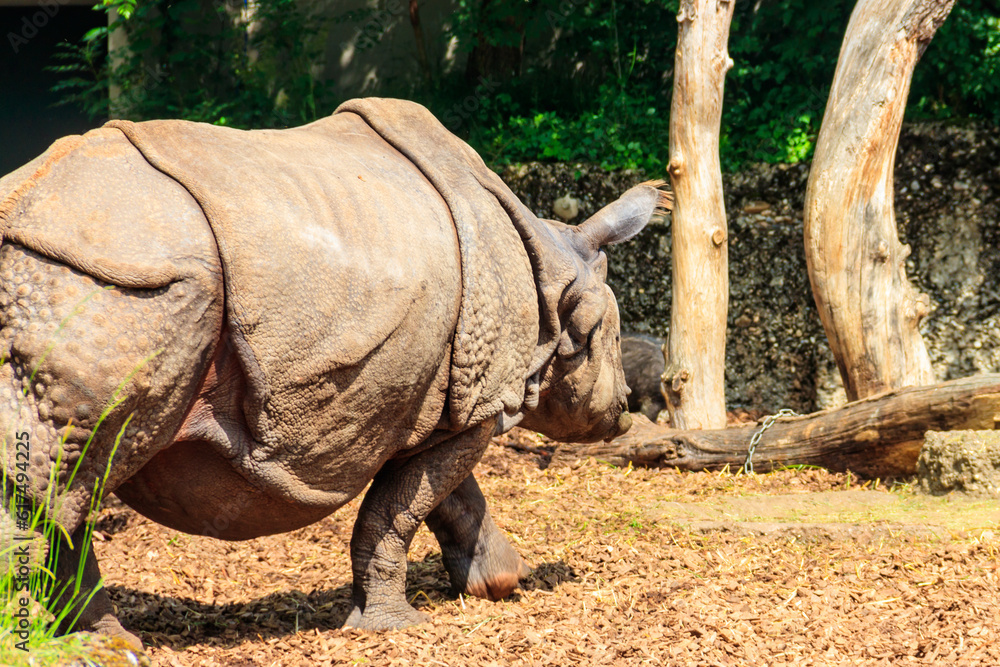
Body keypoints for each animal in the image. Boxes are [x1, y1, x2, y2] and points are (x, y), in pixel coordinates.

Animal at [0, 98, 669, 647]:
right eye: (611, 336)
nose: (623, 411)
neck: (555, 276)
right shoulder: (476, 404)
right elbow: (403, 507)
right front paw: (398, 627)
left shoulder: (447, 399)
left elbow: (447, 497)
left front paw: (502, 583)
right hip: (119, 286)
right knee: (63, 476)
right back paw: (86, 646)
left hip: (88, 278)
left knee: (68, 482)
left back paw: (101, 643)